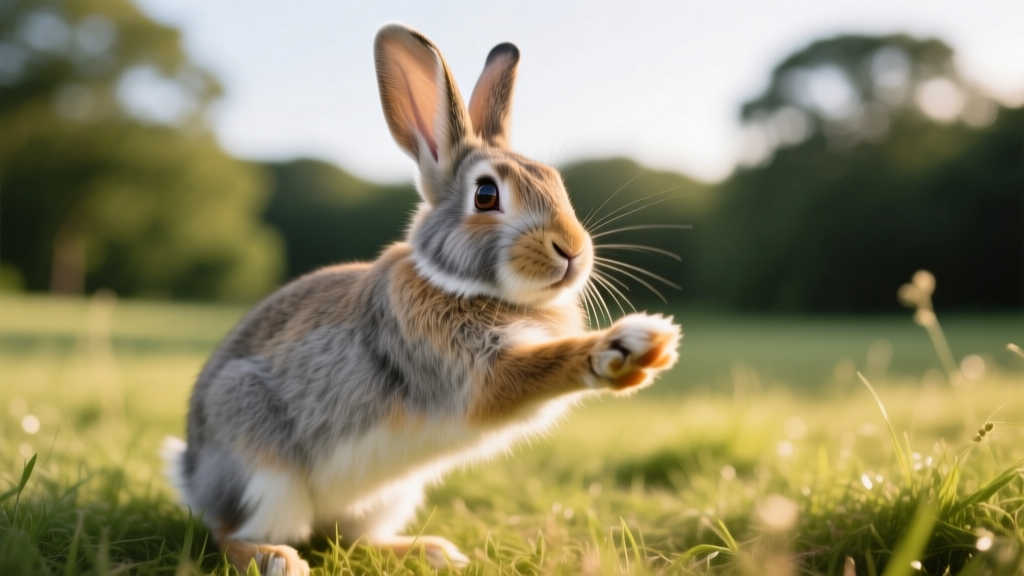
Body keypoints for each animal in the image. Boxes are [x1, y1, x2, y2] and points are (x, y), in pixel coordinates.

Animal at [162, 23, 681, 576]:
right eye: (486, 195)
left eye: (556, 183)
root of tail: (192, 474)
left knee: (352, 538)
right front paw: (628, 346)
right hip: (258, 462)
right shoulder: (471, 373)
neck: (456, 283)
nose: (573, 250)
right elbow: (535, 367)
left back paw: (432, 551)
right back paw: (275, 558)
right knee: (228, 534)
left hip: (388, 496)